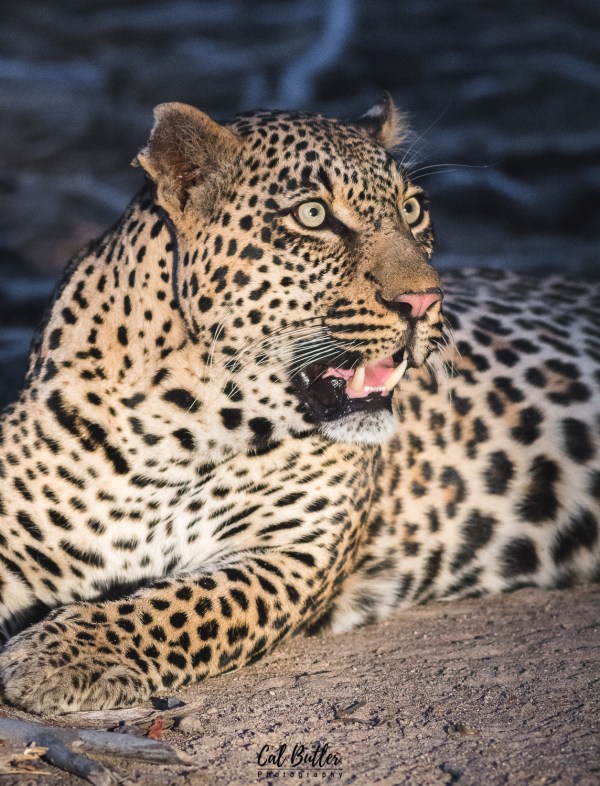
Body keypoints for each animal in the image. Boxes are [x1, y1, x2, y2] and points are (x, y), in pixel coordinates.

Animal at [0, 94, 598, 715]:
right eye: (313, 216)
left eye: (412, 209)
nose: (425, 302)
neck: (178, 429)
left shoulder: (290, 555)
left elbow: (176, 607)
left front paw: (58, 655)